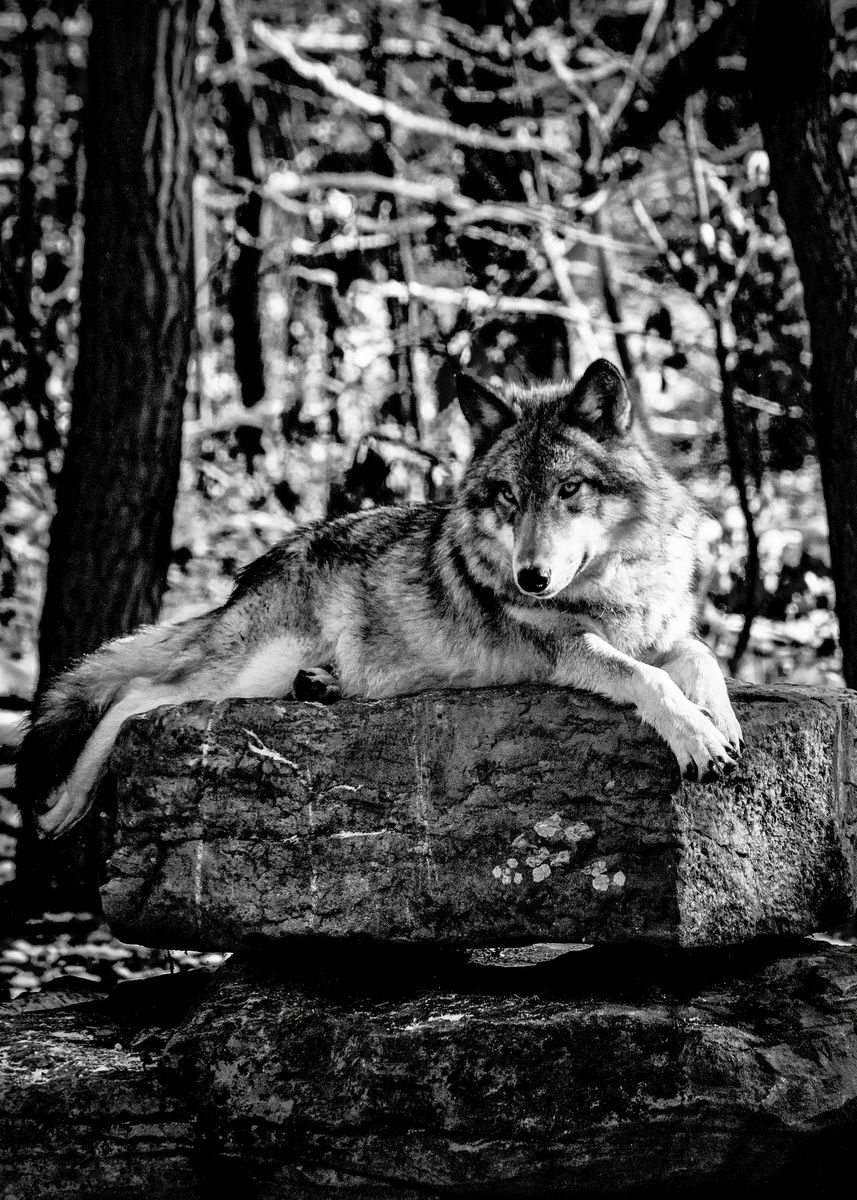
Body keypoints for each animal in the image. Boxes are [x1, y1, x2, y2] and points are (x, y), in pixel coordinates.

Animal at [18, 358, 741, 838]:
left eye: (570, 490)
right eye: (509, 496)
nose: (530, 579)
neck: (620, 580)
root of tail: (260, 565)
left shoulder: (662, 632)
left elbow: (700, 658)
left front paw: (723, 720)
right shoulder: (566, 650)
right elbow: (645, 676)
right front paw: (698, 737)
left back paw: (327, 686)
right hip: (247, 668)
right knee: (132, 695)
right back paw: (66, 803)